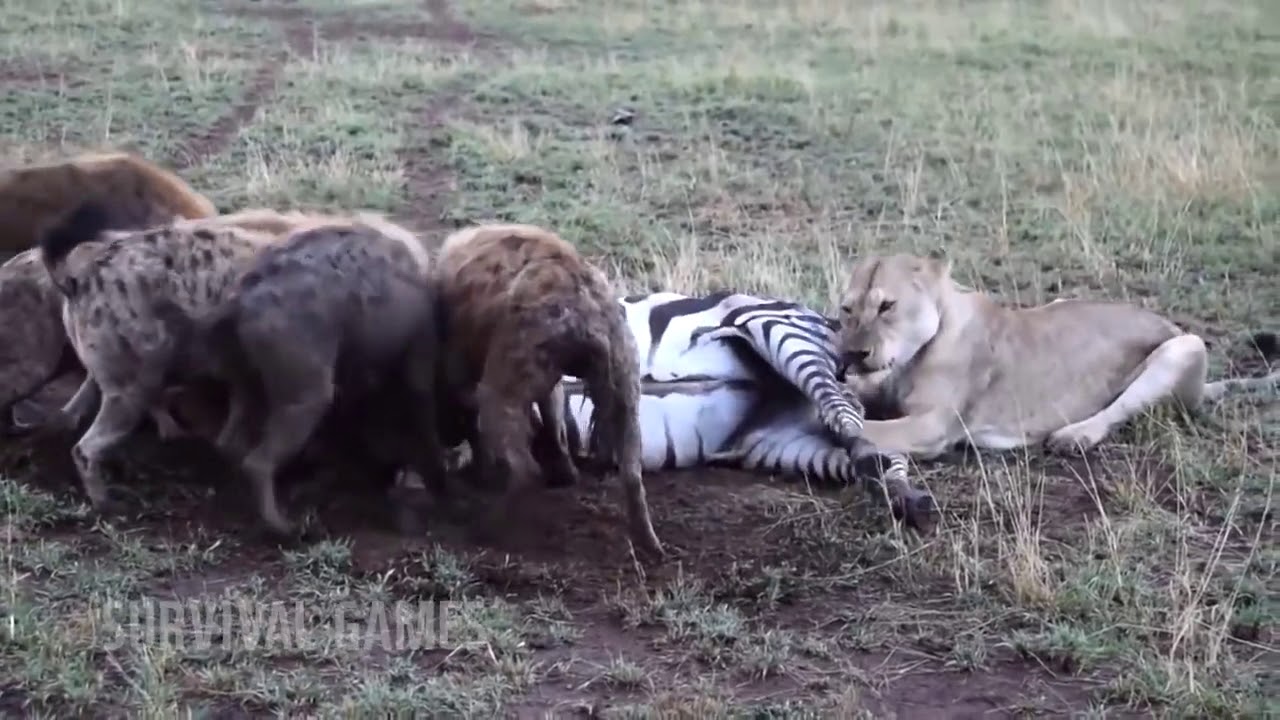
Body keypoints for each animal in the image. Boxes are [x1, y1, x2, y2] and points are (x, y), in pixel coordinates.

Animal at [434, 222, 664, 560]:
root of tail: (584, 313)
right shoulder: (549, 382)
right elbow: (555, 425)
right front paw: (565, 474)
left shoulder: (466, 377)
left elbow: (479, 432)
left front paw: (481, 475)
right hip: (625, 385)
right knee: (633, 473)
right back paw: (649, 544)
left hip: (500, 391)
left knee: (525, 470)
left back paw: (487, 530)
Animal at [835, 253, 1279, 459]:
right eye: (846, 309)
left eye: (887, 306)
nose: (853, 353)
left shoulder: (932, 427)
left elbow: (867, 430)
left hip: (1185, 345)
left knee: (1120, 410)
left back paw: (1074, 436)